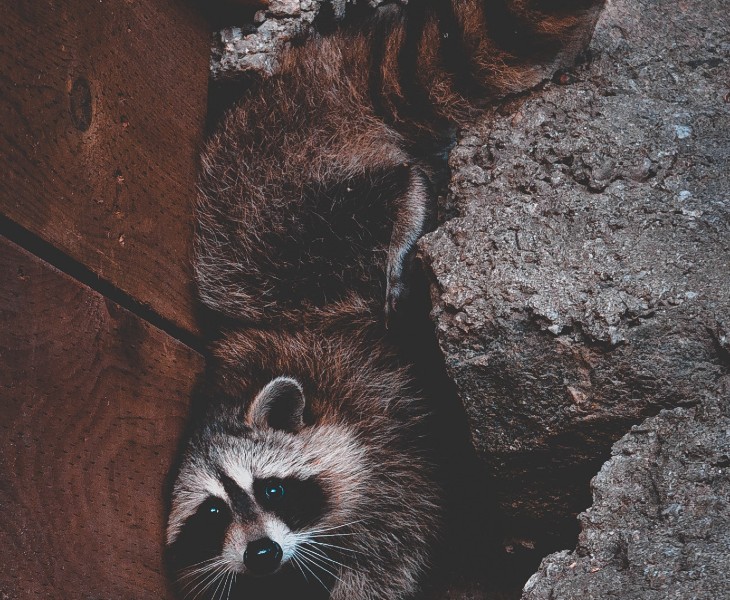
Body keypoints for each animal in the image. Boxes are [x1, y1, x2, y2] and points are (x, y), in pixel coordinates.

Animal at [166, 1, 605, 599]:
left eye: (271, 489)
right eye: (211, 514)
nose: (261, 553)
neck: (227, 395)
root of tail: (296, 89)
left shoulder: (386, 443)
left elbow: (395, 540)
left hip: (291, 221)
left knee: (374, 207)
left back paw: (408, 204)